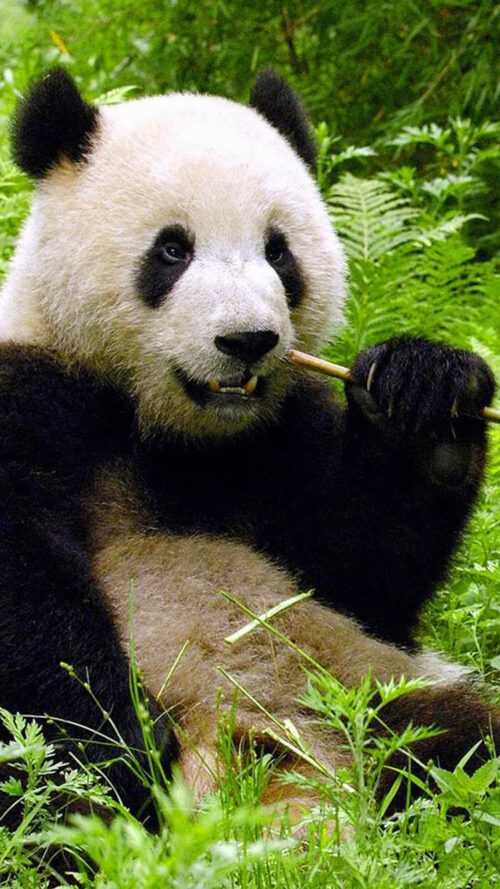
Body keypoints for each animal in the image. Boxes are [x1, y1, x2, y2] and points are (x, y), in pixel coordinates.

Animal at [0, 67, 498, 823]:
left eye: (278, 251)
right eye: (172, 249)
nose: (247, 340)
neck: (167, 430)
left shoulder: (279, 440)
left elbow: (362, 572)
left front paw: (426, 395)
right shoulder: (32, 396)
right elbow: (29, 612)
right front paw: (118, 750)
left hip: (366, 686)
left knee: (462, 745)